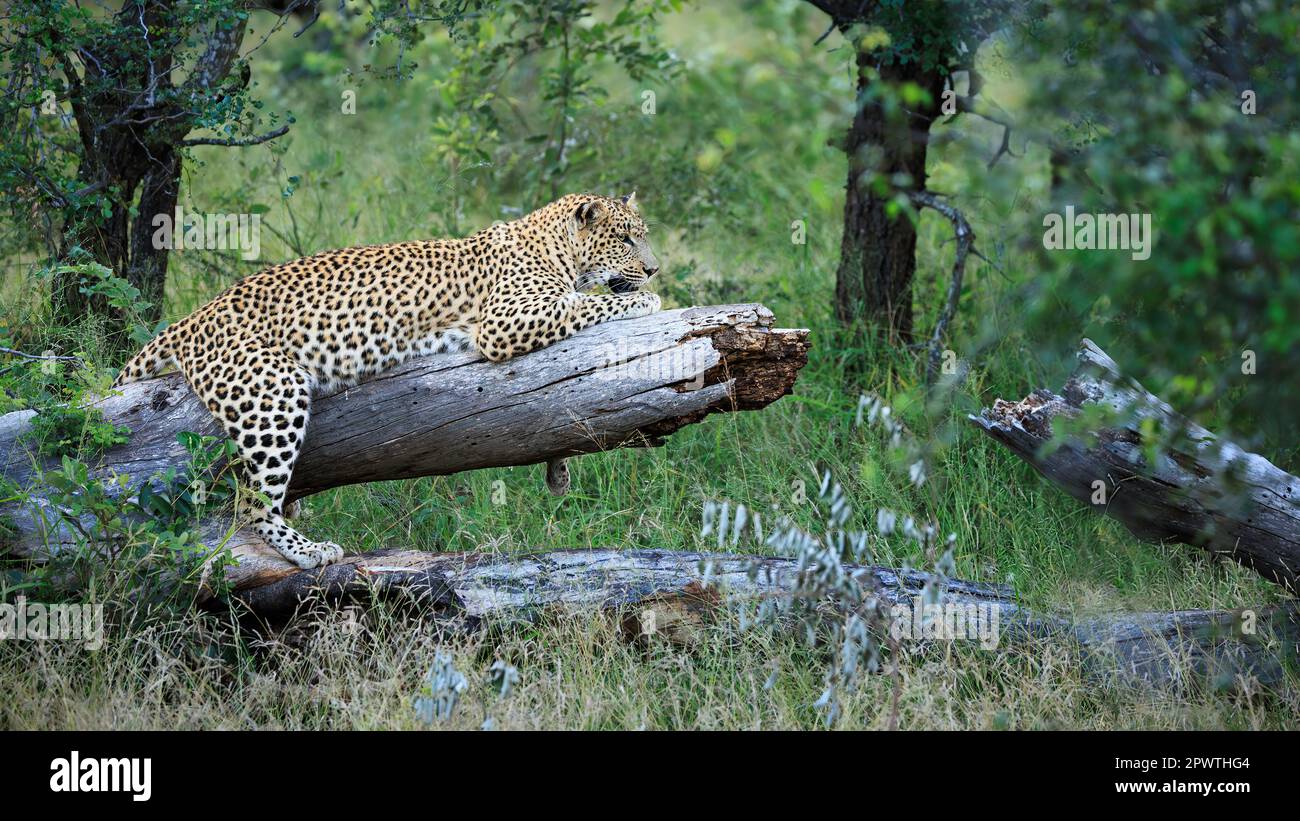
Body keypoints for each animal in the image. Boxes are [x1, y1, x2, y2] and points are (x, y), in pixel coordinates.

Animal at [113, 192, 662, 569]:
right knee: (251, 503)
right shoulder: (506, 321)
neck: (558, 250)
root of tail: (191, 318)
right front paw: (649, 299)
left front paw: (559, 471)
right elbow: (588, 304)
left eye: (643, 234)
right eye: (625, 238)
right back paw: (310, 552)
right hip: (274, 393)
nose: (656, 269)